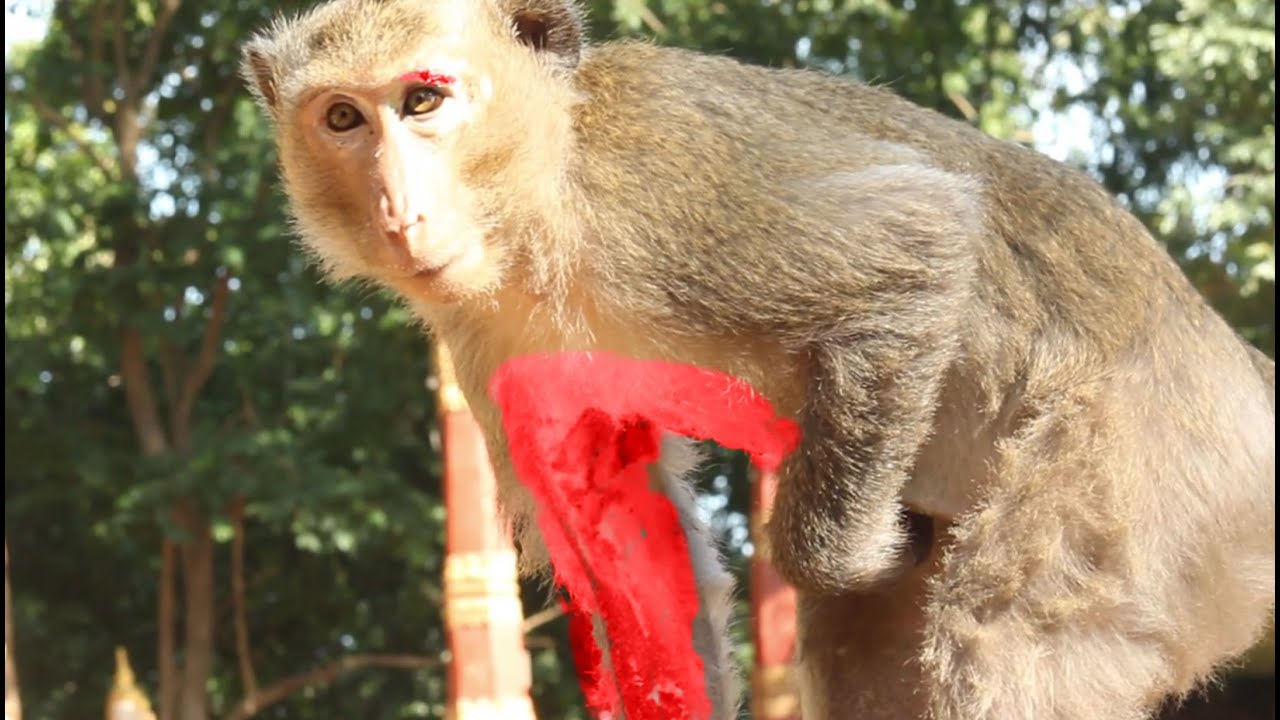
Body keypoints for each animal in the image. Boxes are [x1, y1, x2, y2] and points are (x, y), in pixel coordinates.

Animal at [240, 0, 1276, 718]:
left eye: (423, 100)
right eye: (342, 118)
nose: (398, 210)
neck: (543, 193)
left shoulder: (659, 195)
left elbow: (917, 244)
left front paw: (847, 549)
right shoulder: (486, 335)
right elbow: (634, 550)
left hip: (1157, 480)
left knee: (1008, 630)